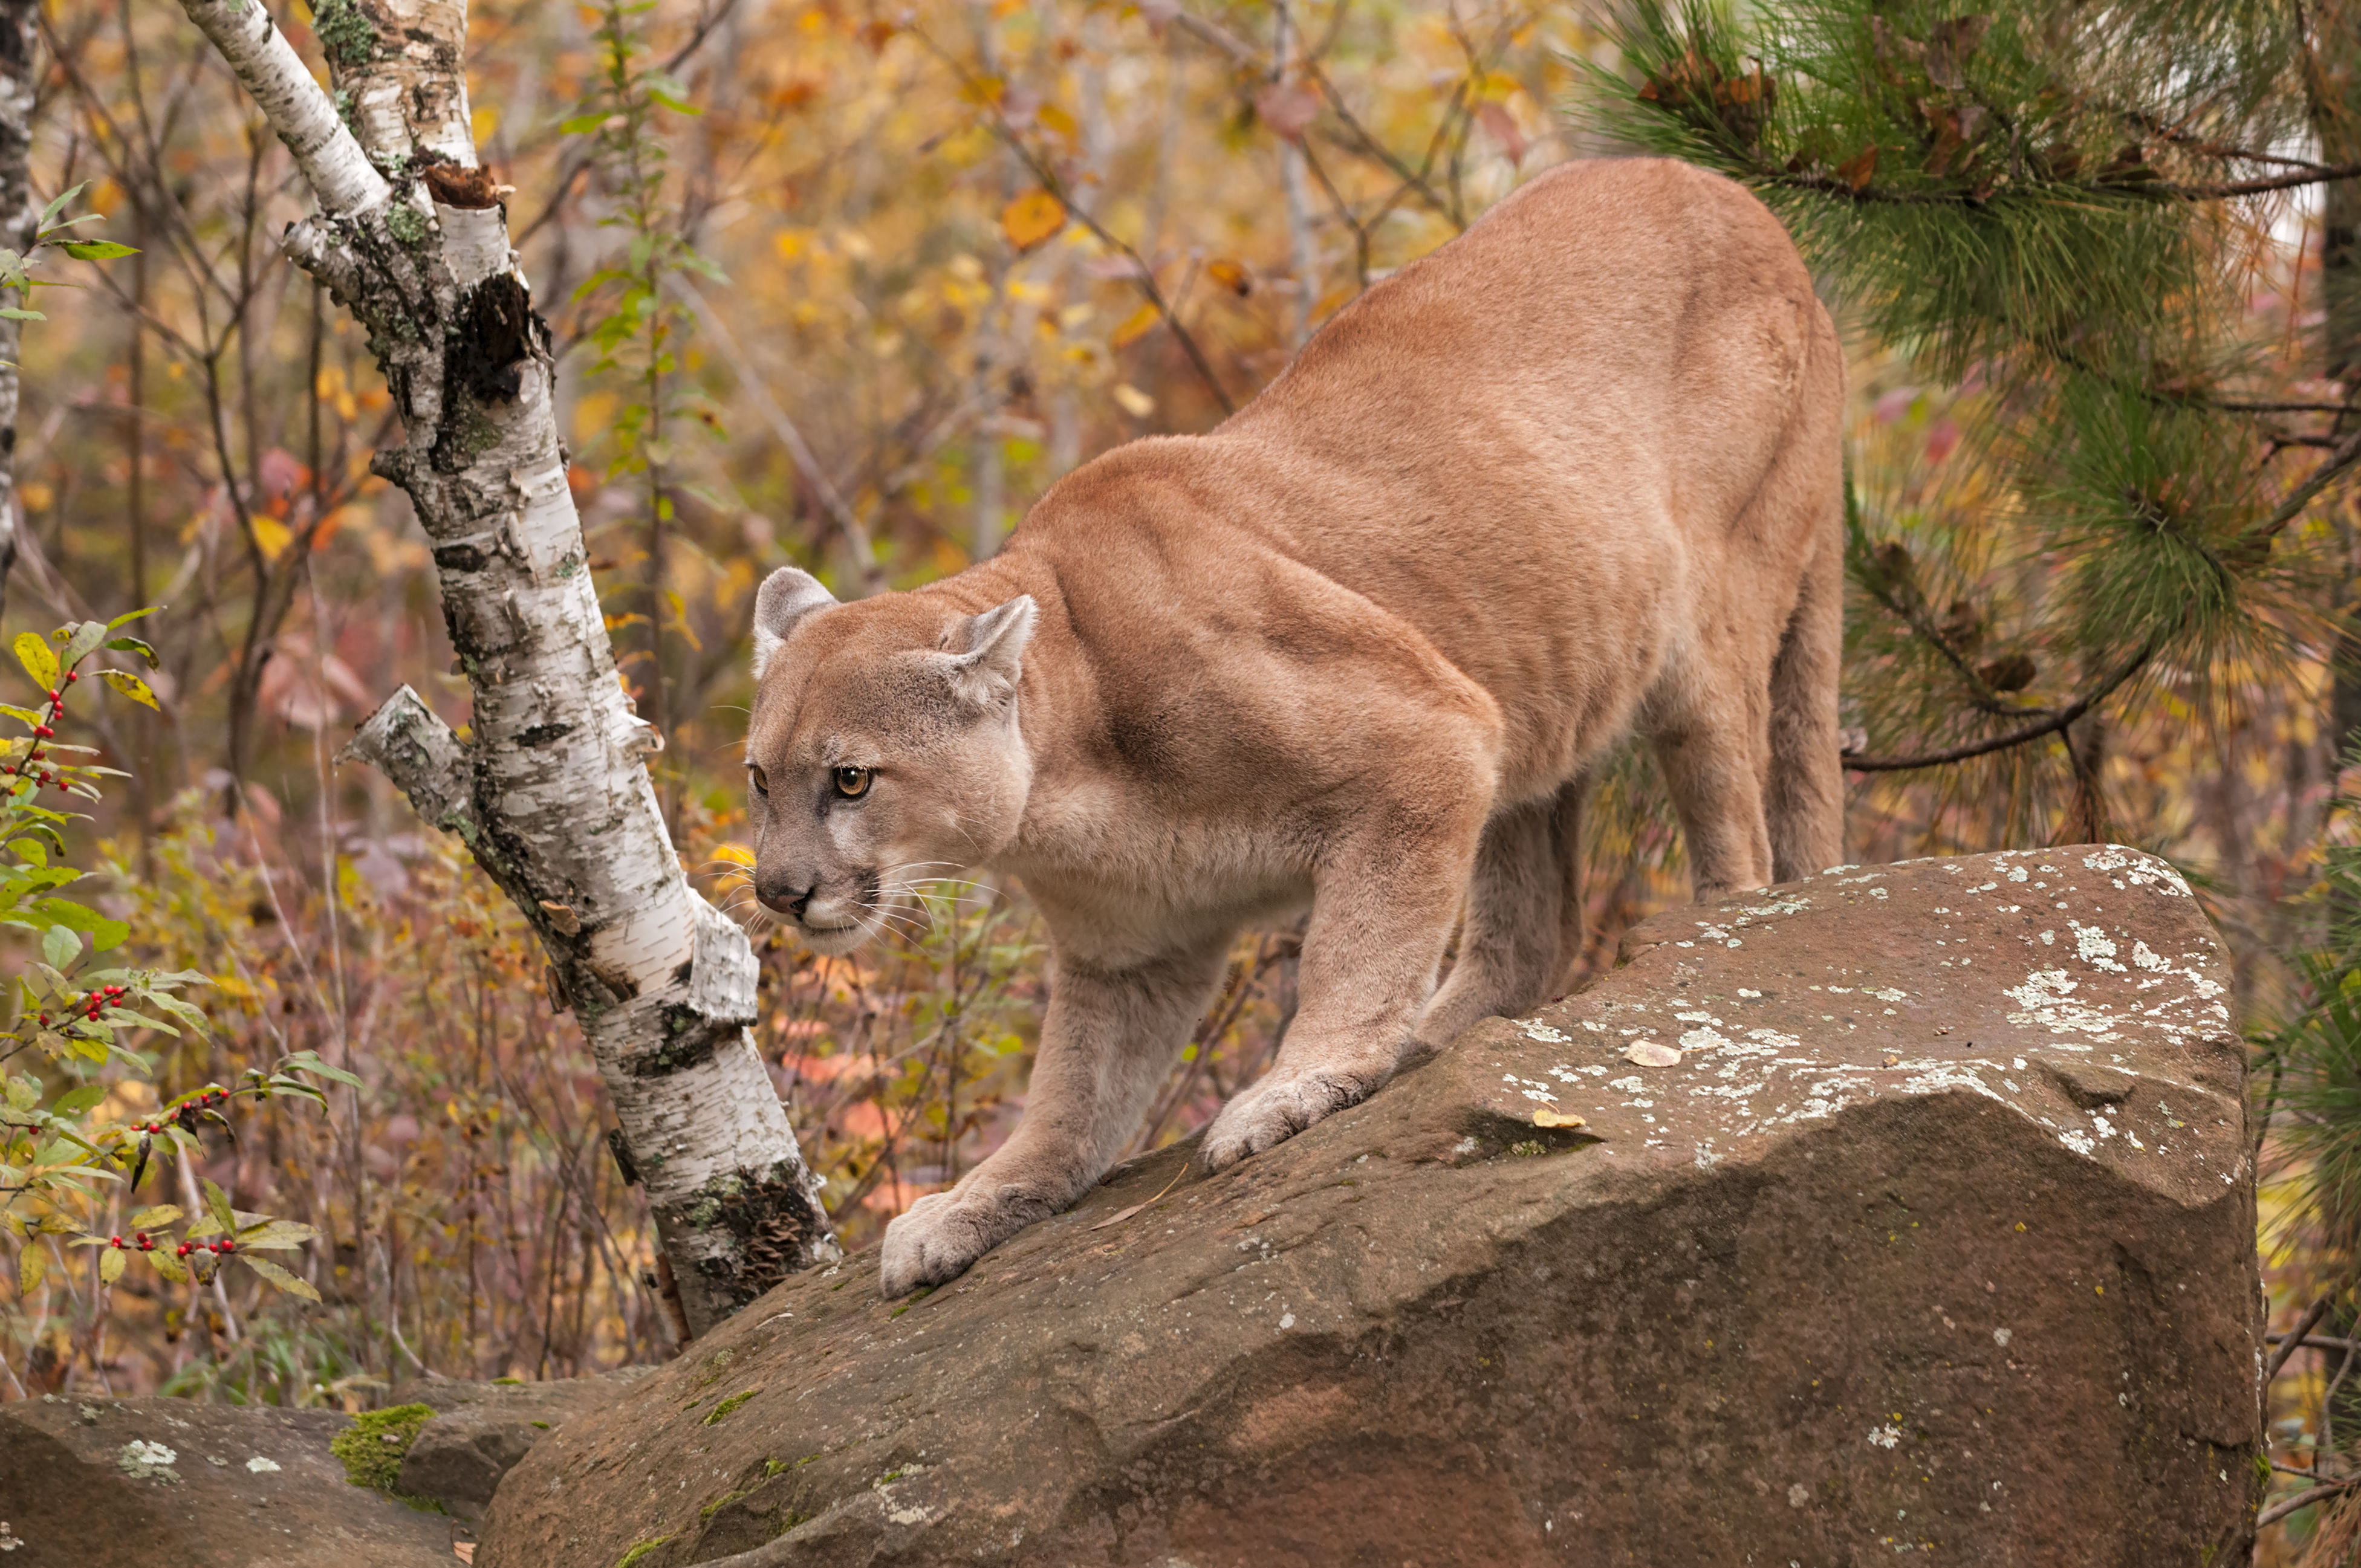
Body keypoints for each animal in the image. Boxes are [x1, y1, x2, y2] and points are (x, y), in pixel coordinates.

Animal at [741, 157, 1846, 1297]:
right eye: (760, 778)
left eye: (852, 779)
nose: (777, 891)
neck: (1066, 782)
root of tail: (1741, 201)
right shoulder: (1130, 952)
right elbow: (1072, 1096)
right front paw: (971, 1203)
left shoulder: (1431, 737)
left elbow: (1353, 946)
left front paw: (1296, 1085)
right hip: (1542, 689)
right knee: (1532, 926)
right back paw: (1431, 1041)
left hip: (1704, 631)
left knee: (1742, 851)